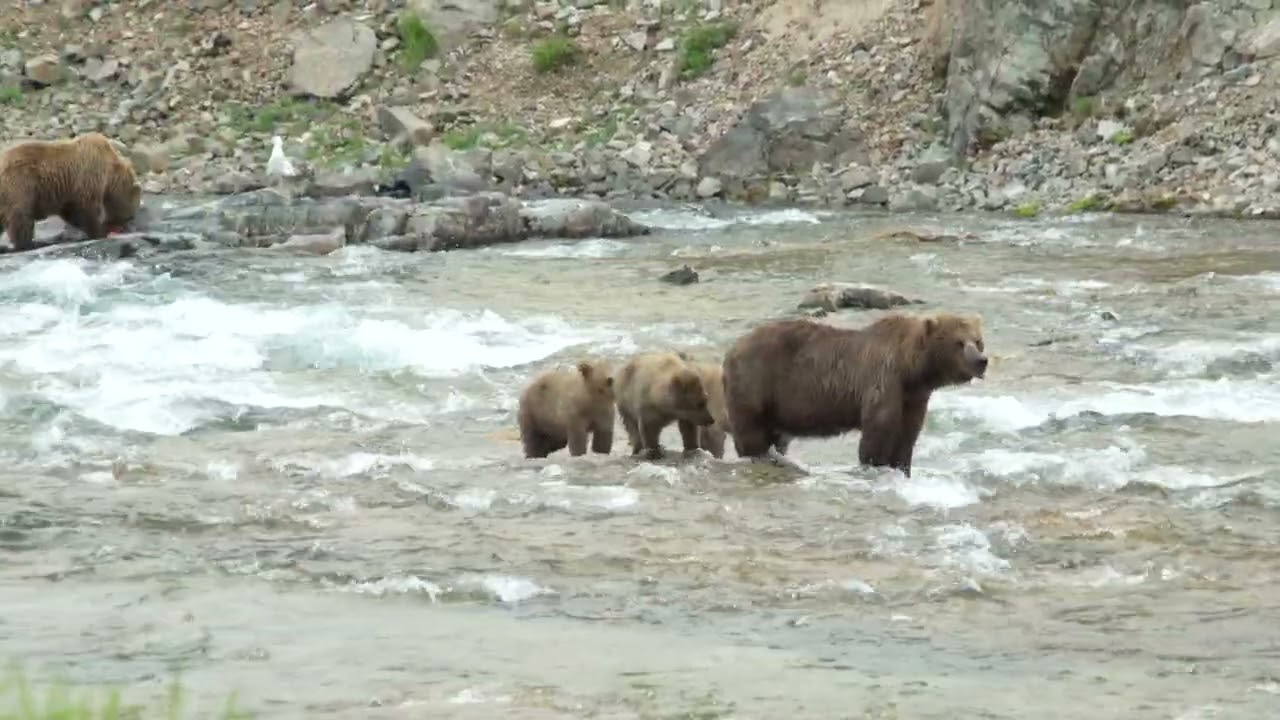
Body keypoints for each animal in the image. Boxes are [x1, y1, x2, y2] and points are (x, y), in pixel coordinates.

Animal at [0, 132, 142, 253]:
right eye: (134, 206)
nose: (130, 220)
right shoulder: (89, 176)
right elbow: (86, 207)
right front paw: (100, 231)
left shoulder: (68, 192)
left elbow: (72, 212)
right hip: (20, 184)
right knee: (20, 216)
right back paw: (29, 244)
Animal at [721, 312, 987, 477]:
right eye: (958, 343)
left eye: (977, 340)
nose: (981, 361)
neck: (912, 370)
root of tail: (731, 348)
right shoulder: (883, 381)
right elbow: (877, 434)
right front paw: (876, 464)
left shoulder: (914, 398)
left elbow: (907, 436)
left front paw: (903, 467)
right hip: (756, 382)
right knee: (751, 433)